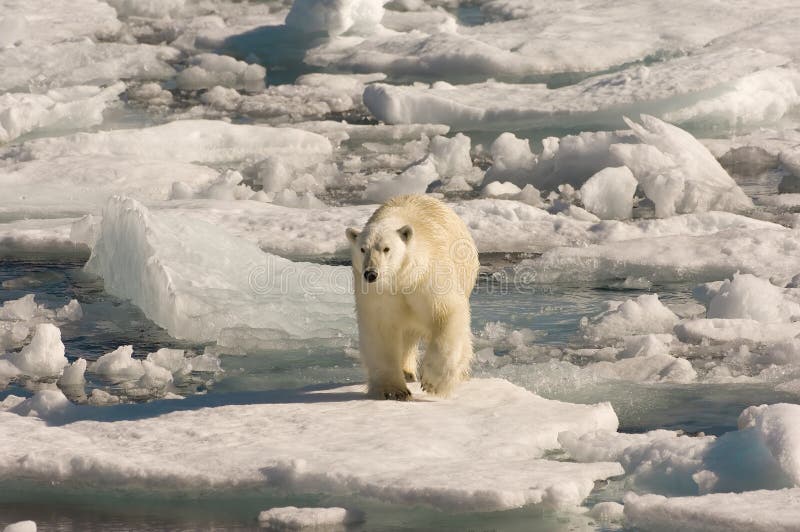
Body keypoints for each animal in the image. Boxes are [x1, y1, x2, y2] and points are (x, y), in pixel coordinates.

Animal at [345, 194, 479, 399]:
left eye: (386, 248)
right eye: (362, 249)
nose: (371, 274)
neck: (400, 278)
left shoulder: (427, 276)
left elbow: (446, 313)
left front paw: (432, 383)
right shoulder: (378, 294)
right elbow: (381, 328)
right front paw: (393, 390)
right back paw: (407, 372)